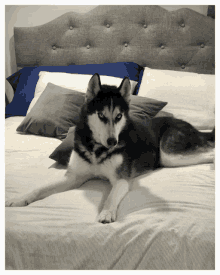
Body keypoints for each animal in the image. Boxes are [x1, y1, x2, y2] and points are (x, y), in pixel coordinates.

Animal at [5, 74, 215, 224]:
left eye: (119, 116)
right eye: (101, 115)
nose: (113, 141)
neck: (98, 149)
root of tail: (188, 124)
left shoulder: (121, 180)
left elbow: (111, 196)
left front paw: (106, 212)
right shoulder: (74, 177)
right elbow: (40, 188)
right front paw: (20, 198)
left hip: (169, 154)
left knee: (210, 151)